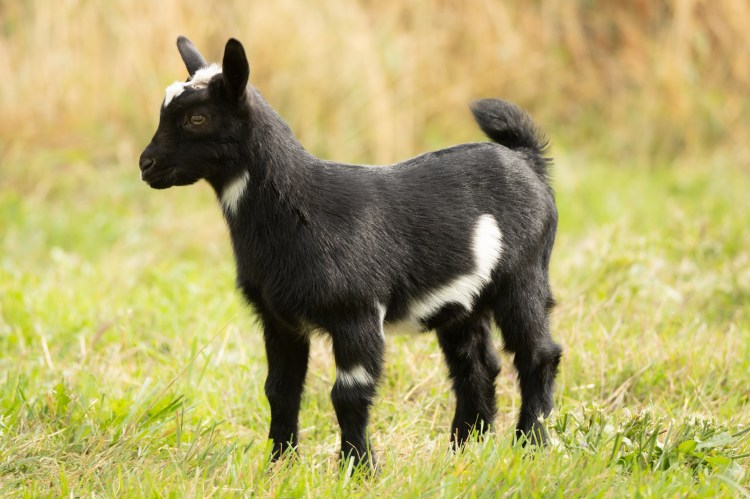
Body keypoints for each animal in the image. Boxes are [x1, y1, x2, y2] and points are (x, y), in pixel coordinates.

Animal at [139, 36, 562, 469]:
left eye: (197, 118)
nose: (147, 164)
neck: (301, 208)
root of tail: (526, 160)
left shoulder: (356, 311)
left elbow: (348, 394)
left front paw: (358, 468)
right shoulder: (279, 319)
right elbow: (280, 389)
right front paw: (279, 464)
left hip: (524, 273)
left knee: (537, 354)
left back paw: (531, 443)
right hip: (464, 300)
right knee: (476, 365)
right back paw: (464, 448)